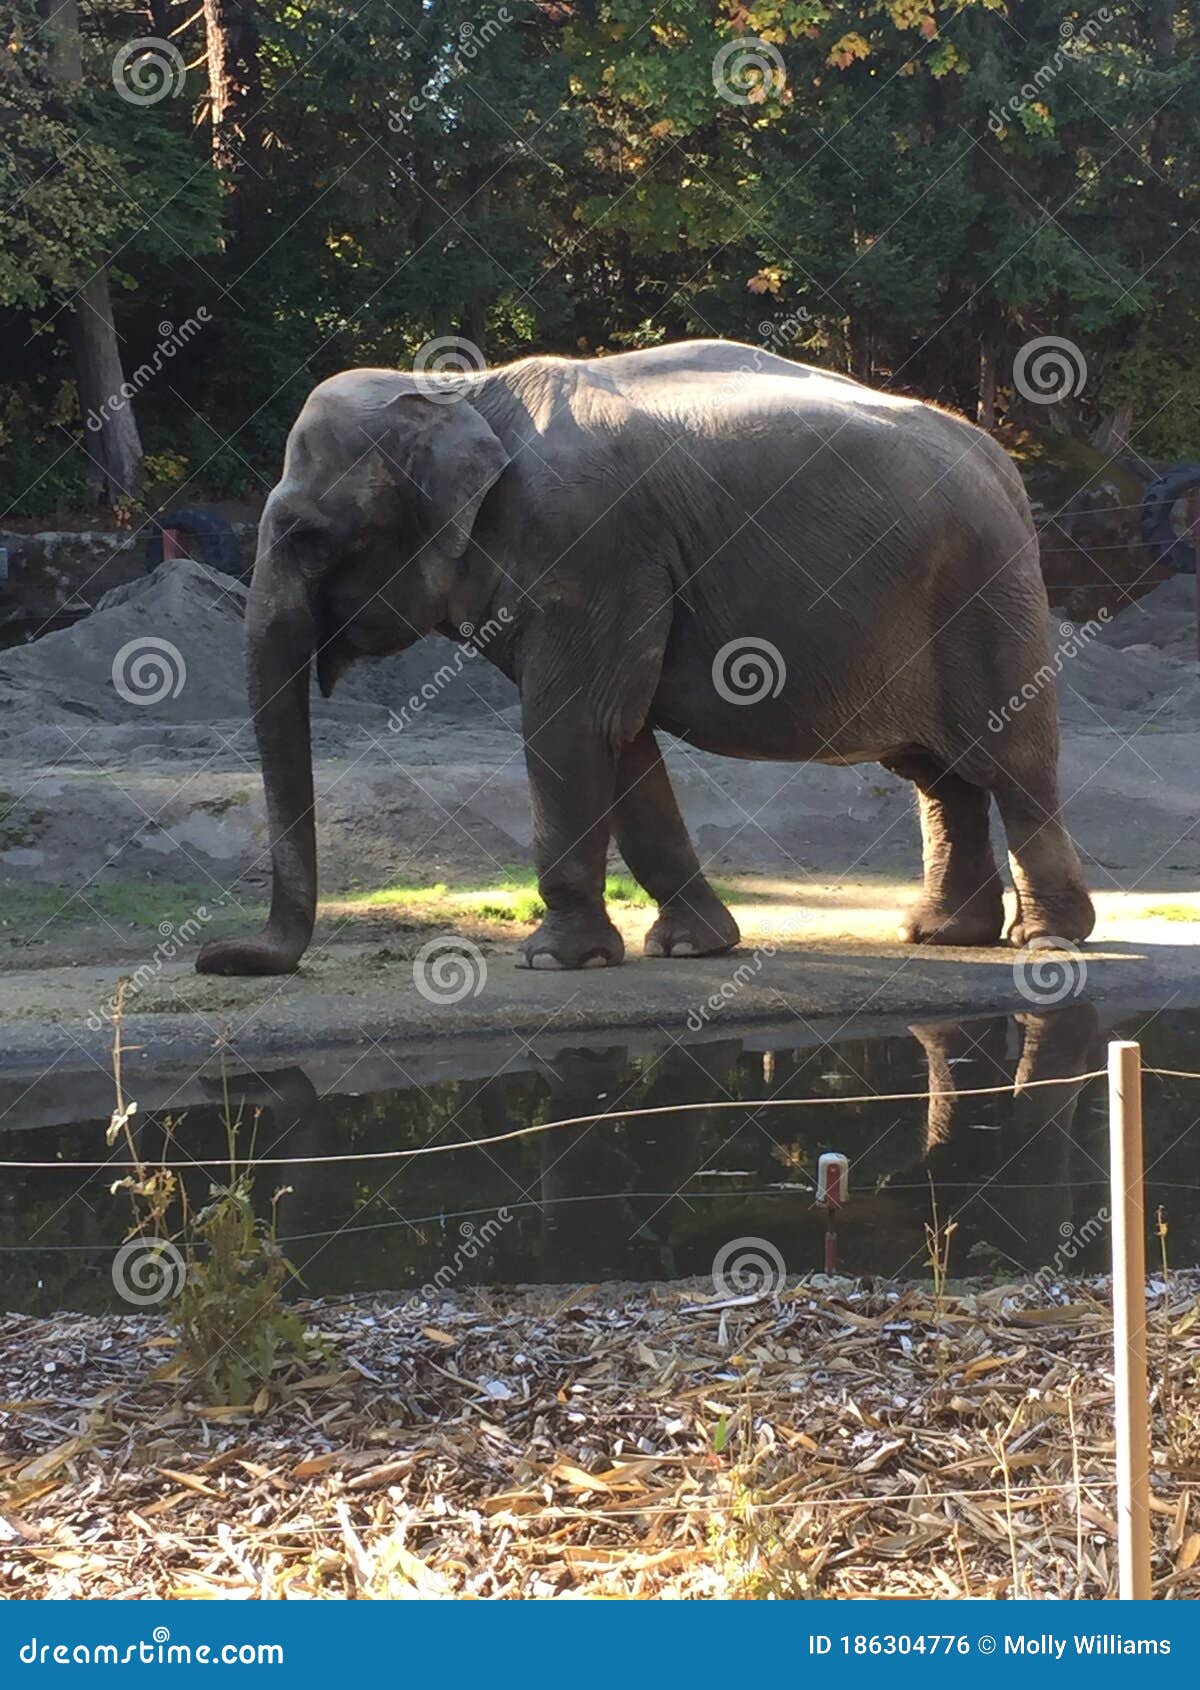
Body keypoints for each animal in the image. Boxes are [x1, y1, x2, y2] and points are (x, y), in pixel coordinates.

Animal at [196, 339, 1095, 977]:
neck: (463, 398)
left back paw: (1046, 942)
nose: (219, 960)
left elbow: (572, 725)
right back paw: (941, 934)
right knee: (938, 774)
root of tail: (1004, 465)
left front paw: (553, 961)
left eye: (308, 538)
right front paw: (694, 947)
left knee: (1012, 765)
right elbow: (620, 739)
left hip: (989, 594)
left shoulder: (589, 551)